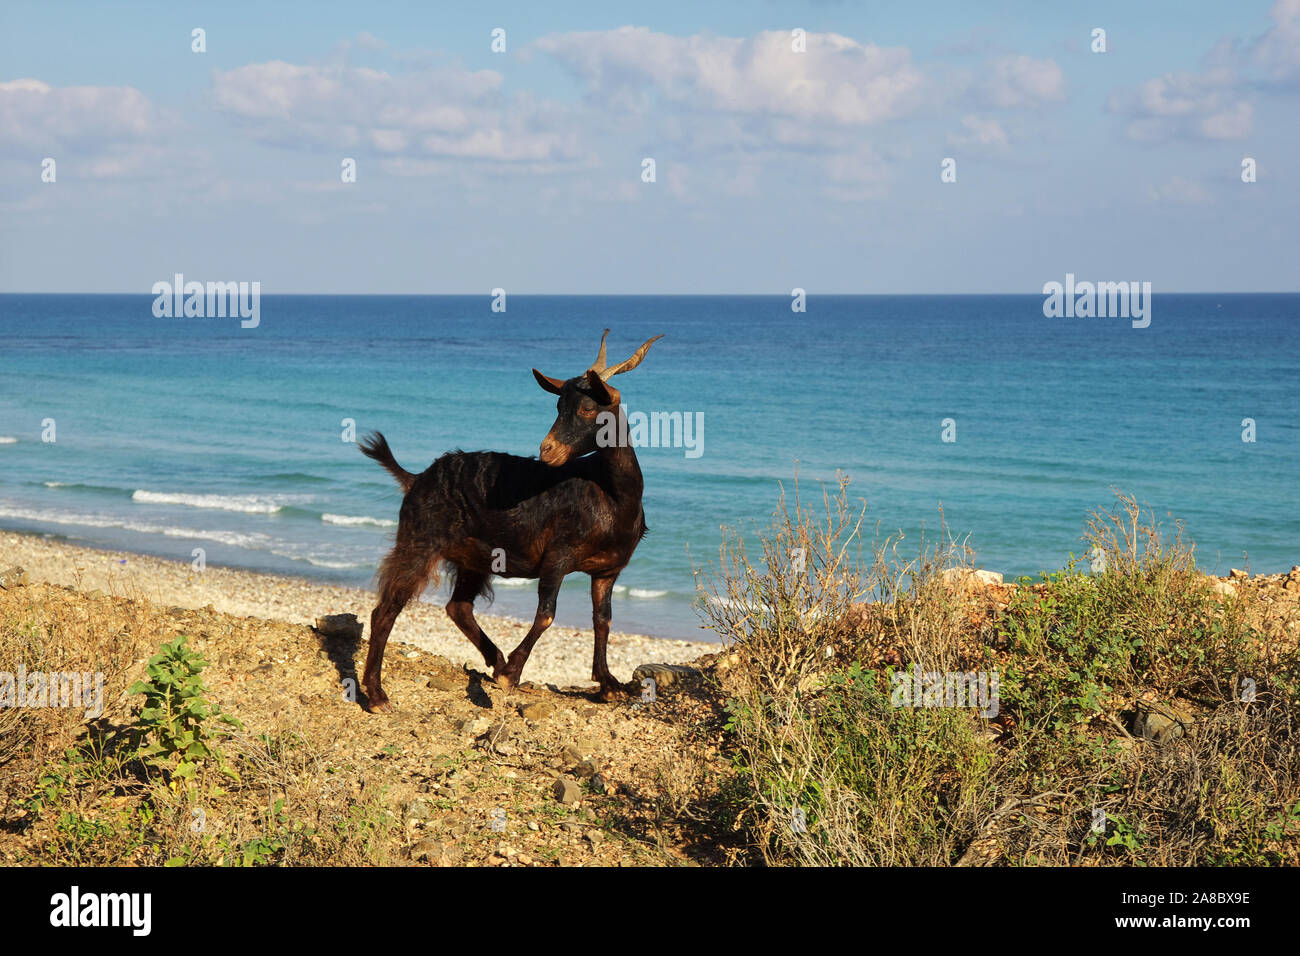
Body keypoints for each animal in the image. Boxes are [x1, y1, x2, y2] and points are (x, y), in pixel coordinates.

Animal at [356, 330, 663, 713]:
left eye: (588, 408)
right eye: (558, 406)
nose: (547, 450)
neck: (611, 496)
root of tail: (414, 479)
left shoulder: (608, 569)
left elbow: (603, 620)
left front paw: (608, 684)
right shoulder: (557, 556)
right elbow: (546, 614)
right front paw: (511, 674)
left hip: (474, 557)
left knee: (458, 607)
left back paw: (494, 658)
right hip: (419, 541)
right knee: (386, 610)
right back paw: (377, 694)